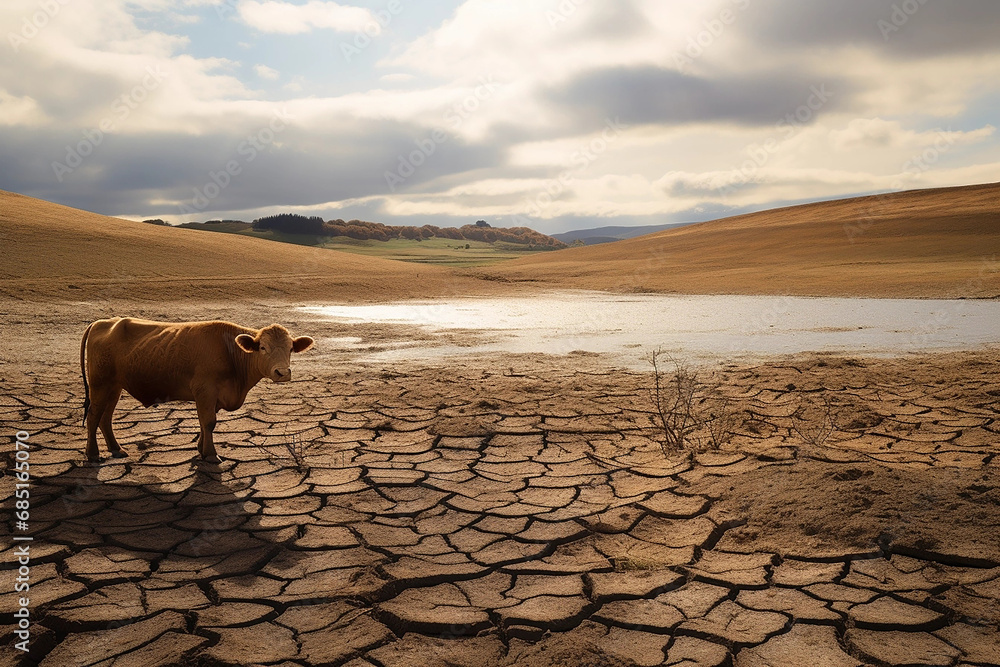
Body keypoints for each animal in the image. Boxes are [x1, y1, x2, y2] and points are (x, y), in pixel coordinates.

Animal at [80, 318, 314, 463]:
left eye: (291, 348)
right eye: (263, 347)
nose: (282, 373)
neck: (230, 352)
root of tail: (103, 322)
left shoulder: (213, 397)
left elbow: (203, 423)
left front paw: (201, 450)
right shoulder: (205, 389)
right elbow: (208, 422)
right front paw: (210, 455)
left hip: (114, 386)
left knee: (105, 417)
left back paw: (116, 449)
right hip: (100, 384)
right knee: (93, 416)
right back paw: (93, 454)